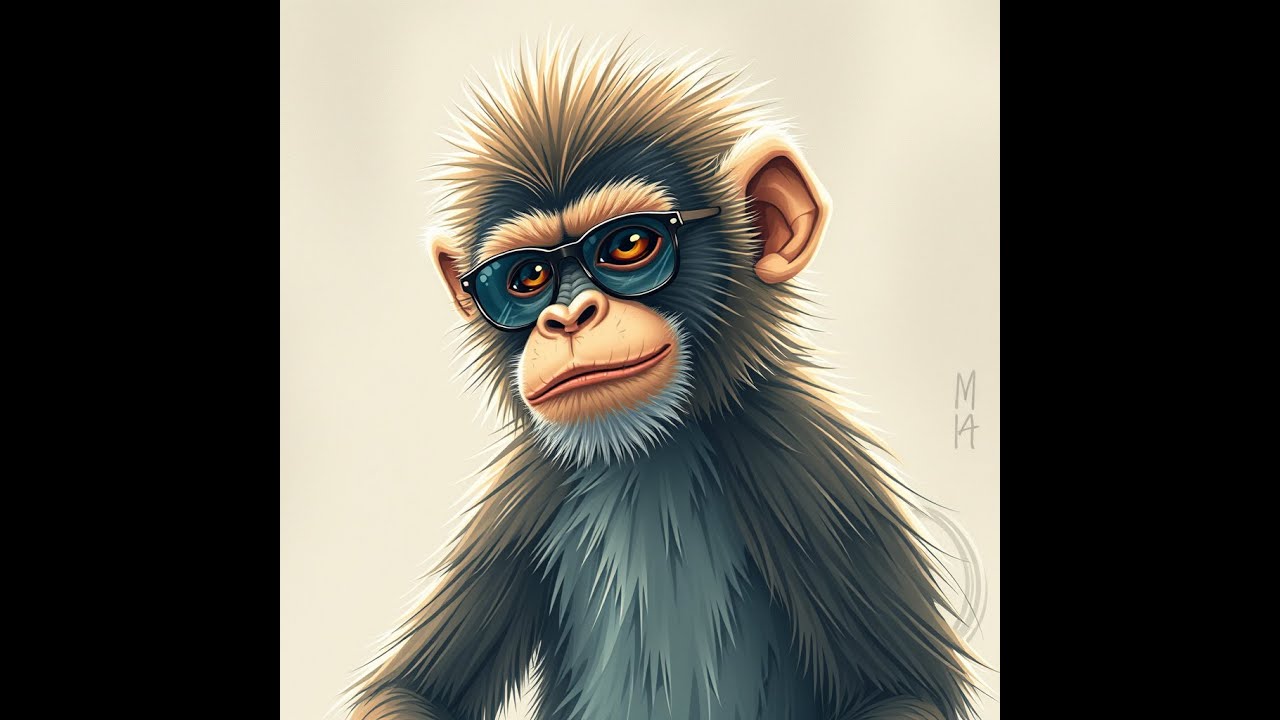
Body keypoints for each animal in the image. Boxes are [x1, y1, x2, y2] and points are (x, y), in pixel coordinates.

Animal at [346, 37, 987, 720]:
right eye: (525, 278)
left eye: (628, 244)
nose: (568, 317)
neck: (650, 450)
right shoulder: (526, 486)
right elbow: (411, 689)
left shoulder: (806, 458)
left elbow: (902, 691)